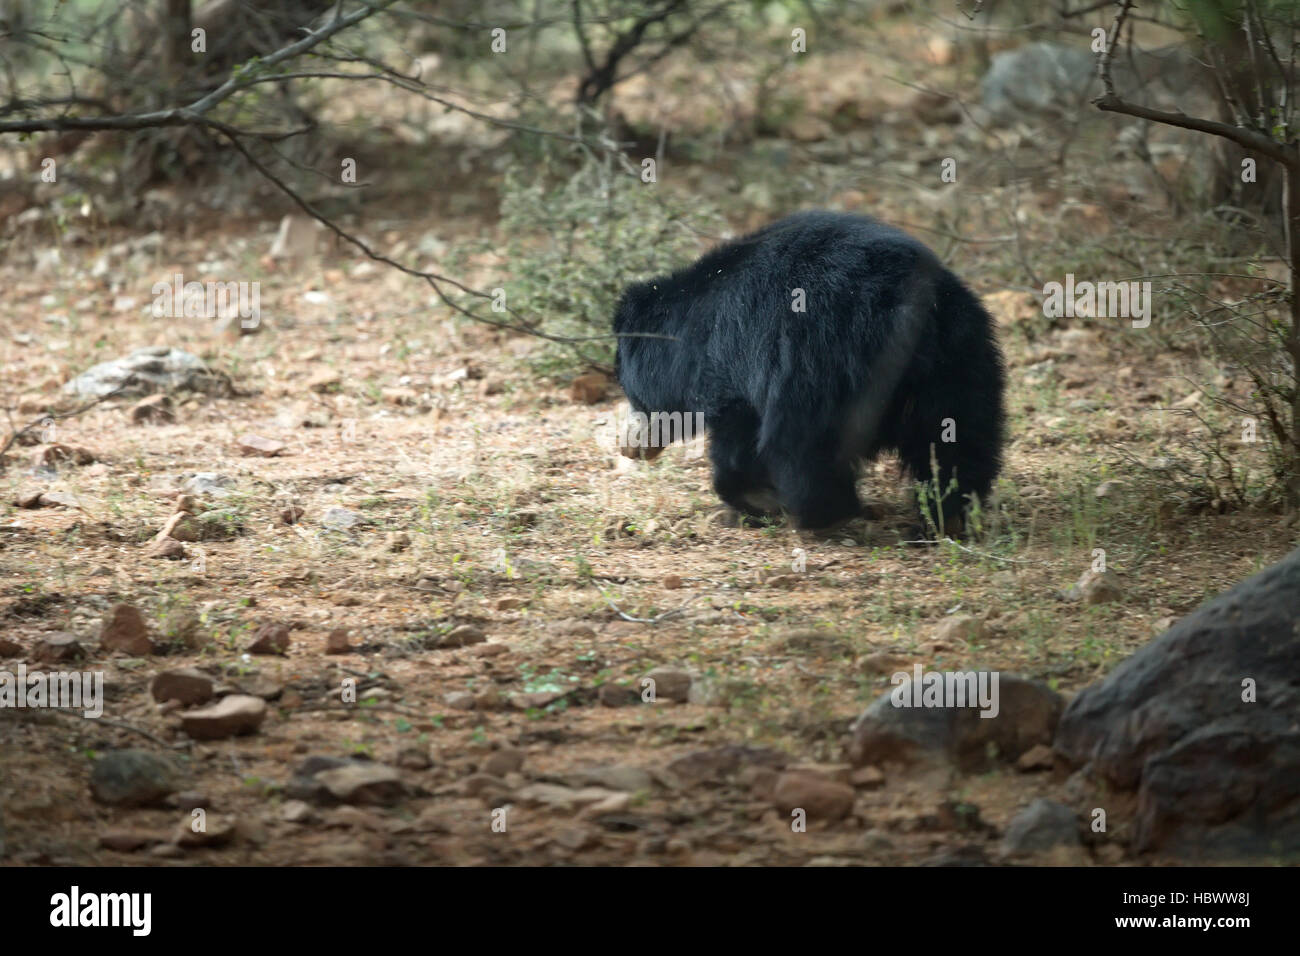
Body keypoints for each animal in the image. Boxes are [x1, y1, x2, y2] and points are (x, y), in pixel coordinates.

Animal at [612, 210, 1005, 533]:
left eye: (632, 396)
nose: (627, 447)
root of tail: (913, 307)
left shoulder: (733, 365)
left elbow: (740, 433)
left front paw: (754, 500)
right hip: (959, 357)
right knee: (957, 433)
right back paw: (949, 513)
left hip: (825, 356)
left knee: (804, 439)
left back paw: (821, 514)